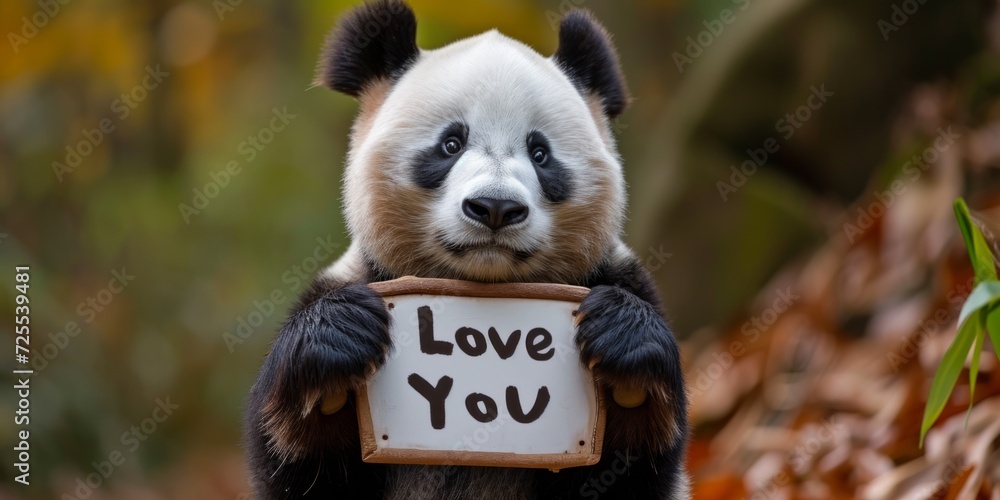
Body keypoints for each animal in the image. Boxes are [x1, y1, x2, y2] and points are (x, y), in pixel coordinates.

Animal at [244, 1, 689, 498]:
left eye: (540, 153)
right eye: (451, 144)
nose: (495, 207)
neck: (480, 284)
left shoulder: (613, 275)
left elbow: (629, 470)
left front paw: (624, 349)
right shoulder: (362, 274)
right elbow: (300, 467)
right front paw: (337, 345)